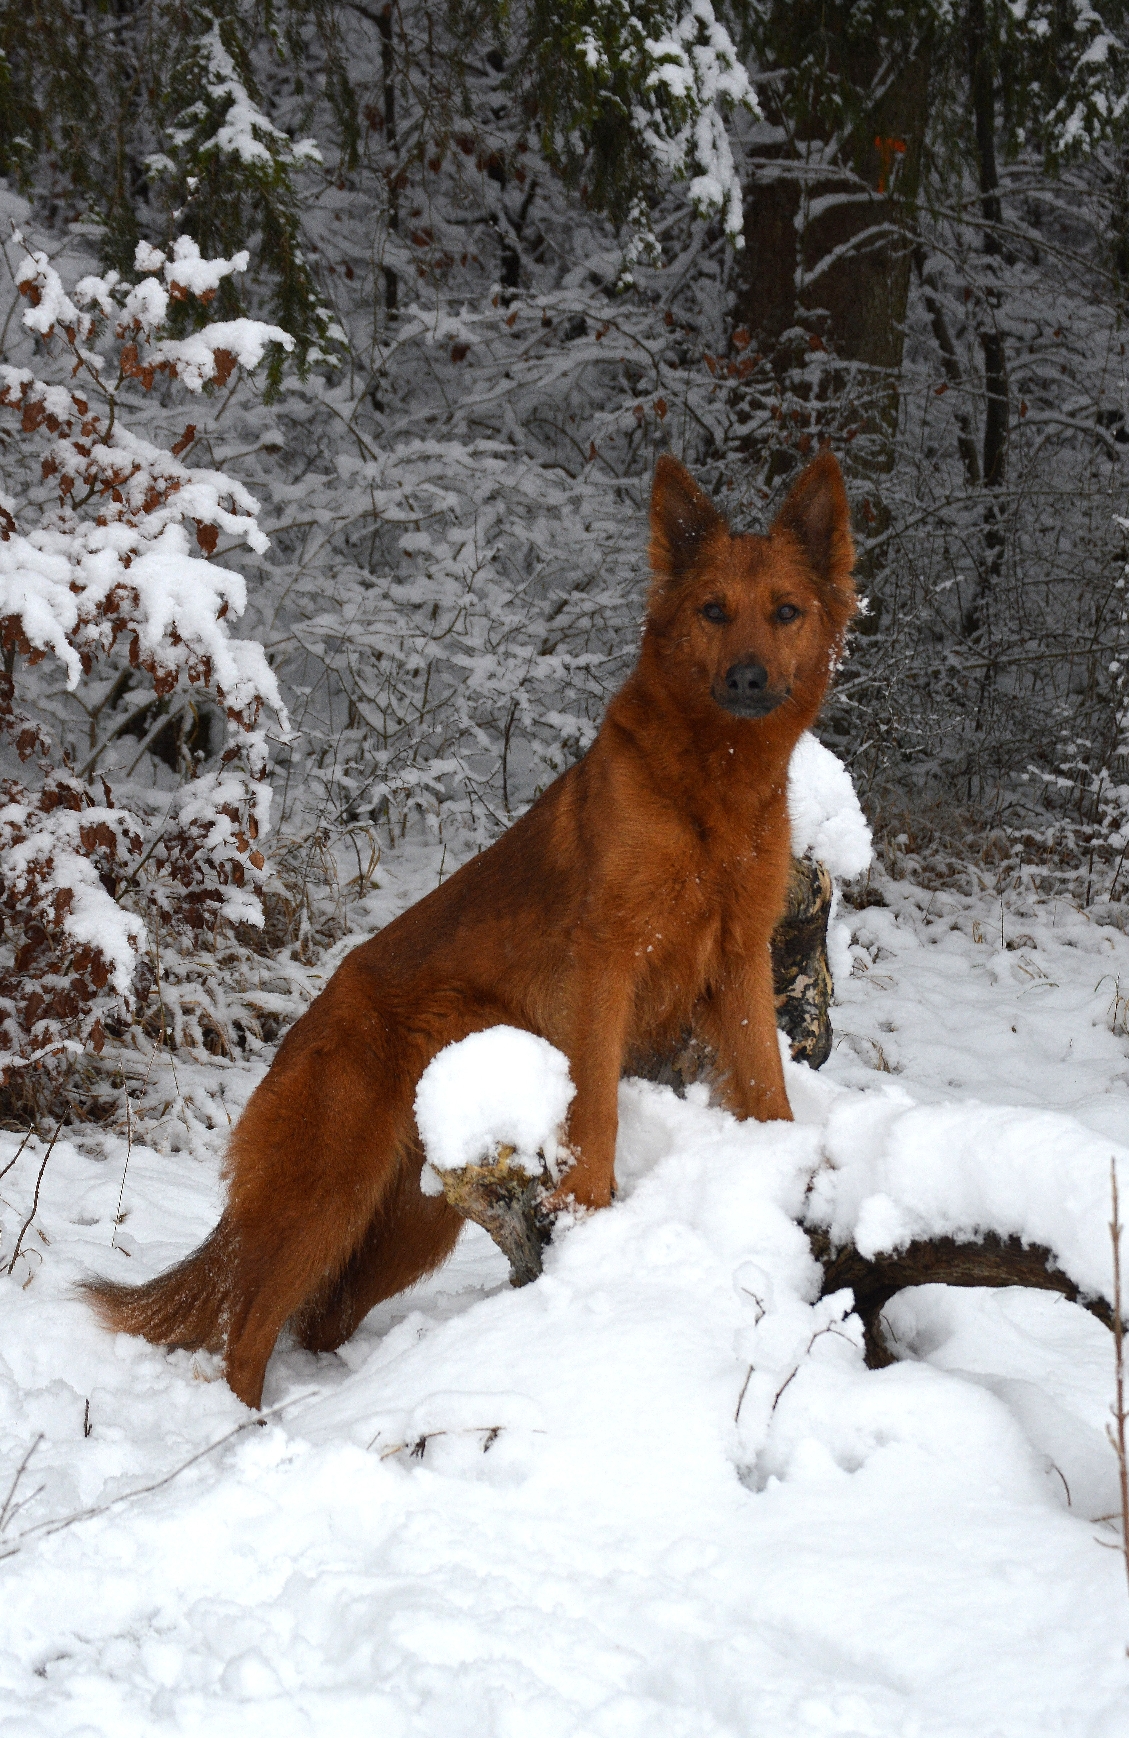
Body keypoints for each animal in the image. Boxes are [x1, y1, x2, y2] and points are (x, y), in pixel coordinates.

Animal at [84, 448, 856, 1408]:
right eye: (714, 611)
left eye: (784, 612)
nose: (748, 679)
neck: (711, 790)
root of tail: (312, 1017)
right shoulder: (605, 967)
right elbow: (596, 1111)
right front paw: (591, 1212)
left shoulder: (739, 963)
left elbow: (764, 1087)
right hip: (326, 1195)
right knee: (248, 1328)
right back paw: (254, 1423)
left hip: (410, 1224)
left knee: (317, 1318)